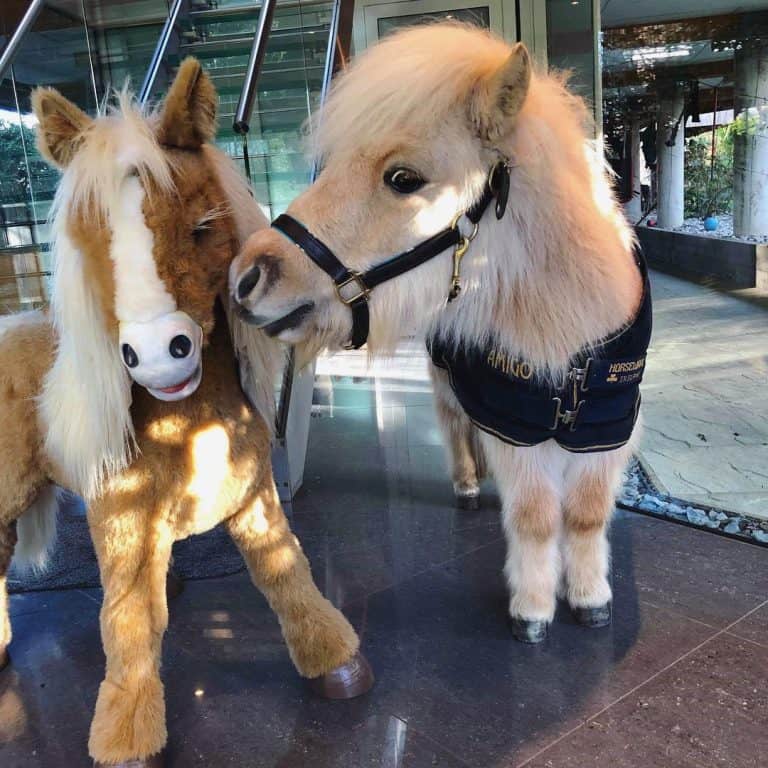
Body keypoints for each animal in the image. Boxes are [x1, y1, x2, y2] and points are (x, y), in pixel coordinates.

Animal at [0, 59, 372, 768]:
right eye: (93, 243)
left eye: (201, 226)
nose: (155, 355)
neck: (188, 425)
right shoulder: (122, 526)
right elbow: (128, 621)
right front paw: (128, 737)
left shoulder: (256, 499)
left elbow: (288, 575)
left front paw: (336, 663)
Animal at [230, 24, 650, 645]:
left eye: (404, 179)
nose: (246, 277)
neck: (570, 337)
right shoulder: (518, 428)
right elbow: (535, 517)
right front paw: (532, 611)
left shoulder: (607, 429)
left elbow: (586, 514)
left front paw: (590, 599)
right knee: (455, 429)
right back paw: (469, 487)